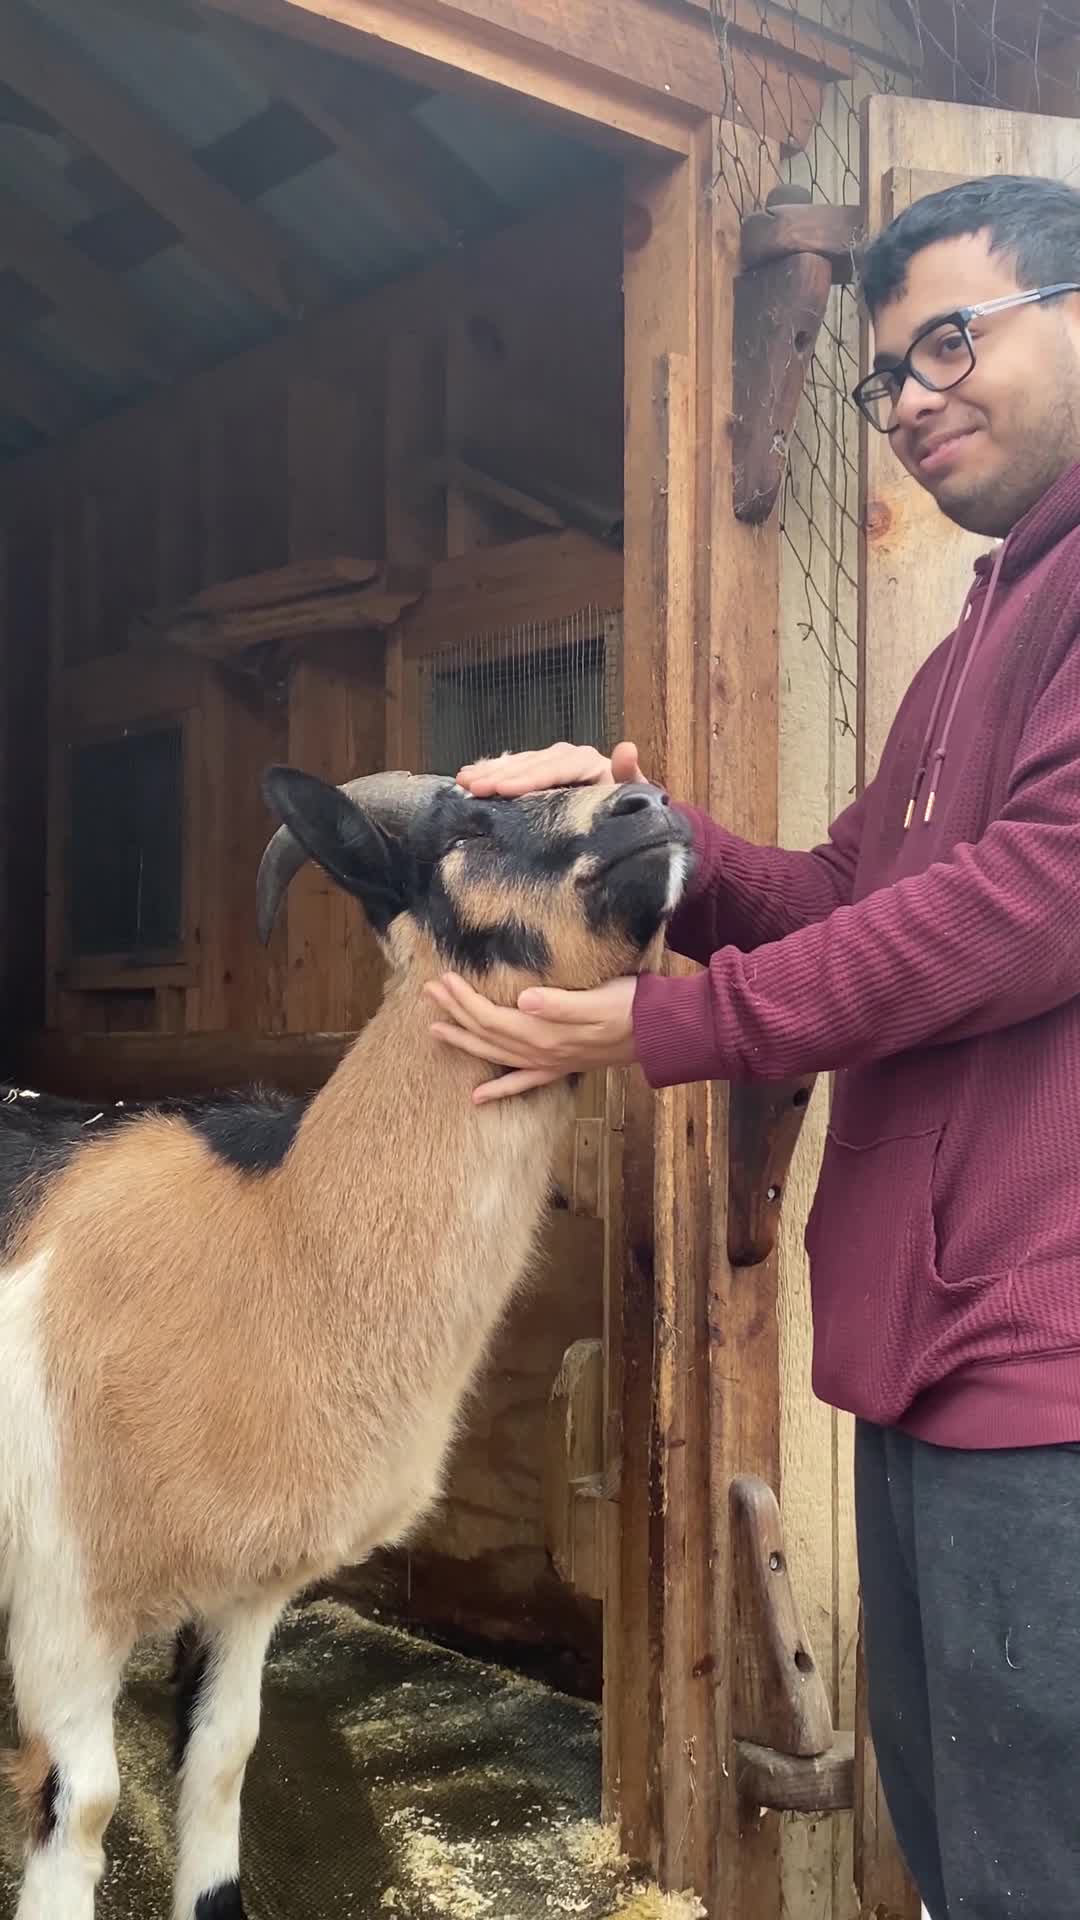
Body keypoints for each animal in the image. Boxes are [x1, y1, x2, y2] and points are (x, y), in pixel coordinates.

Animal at [0, 763, 691, 1920]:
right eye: (471, 824)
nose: (652, 806)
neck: (272, 1243)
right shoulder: (65, 1597)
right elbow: (83, 1805)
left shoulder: (244, 1590)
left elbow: (223, 1763)